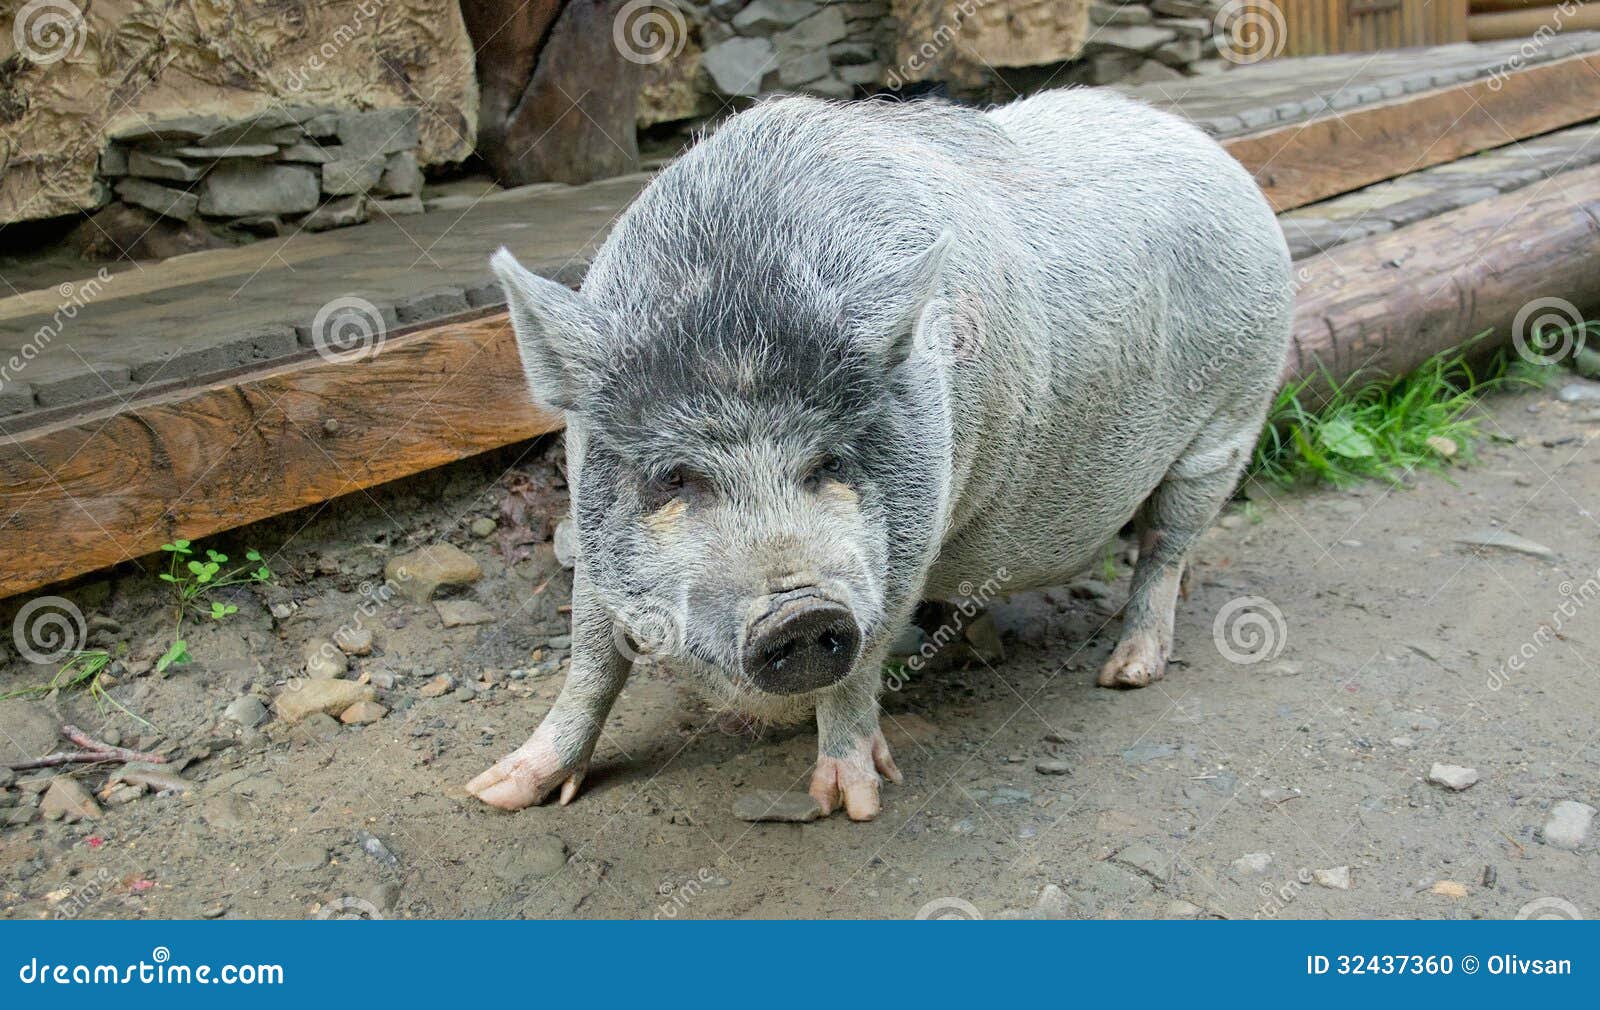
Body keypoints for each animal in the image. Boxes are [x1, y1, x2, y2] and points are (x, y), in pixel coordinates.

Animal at [467, 89, 1293, 820]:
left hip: (1231, 418)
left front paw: (850, 803)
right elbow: (589, 656)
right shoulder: (589, 520)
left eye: (830, 462)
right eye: (675, 477)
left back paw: (1126, 673)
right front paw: (495, 792)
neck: (737, 317)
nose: (800, 611)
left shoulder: (909, 538)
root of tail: (1220, 156)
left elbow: (860, 668)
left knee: (1166, 544)